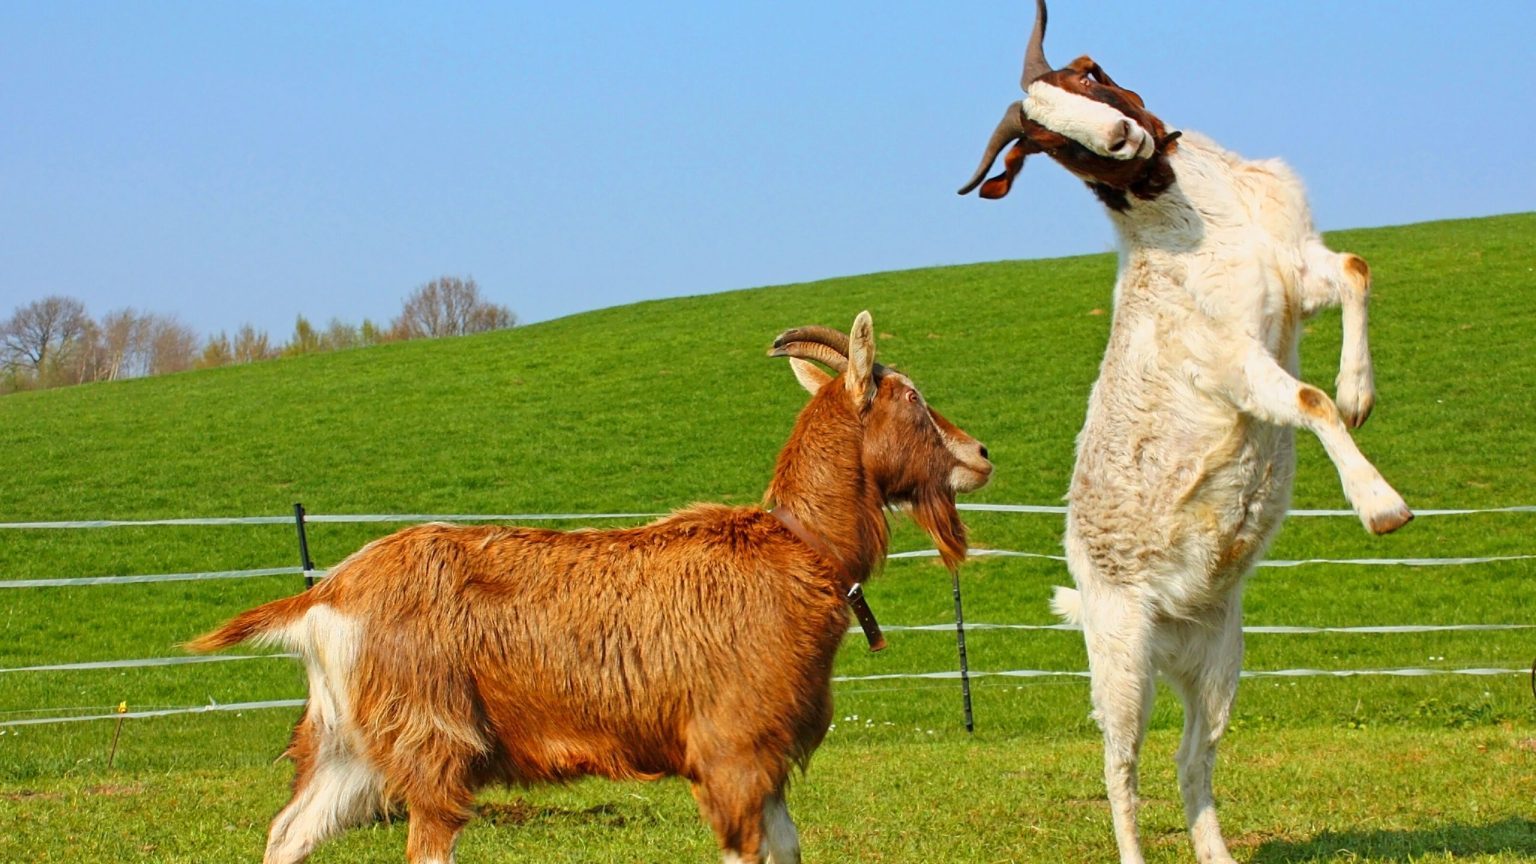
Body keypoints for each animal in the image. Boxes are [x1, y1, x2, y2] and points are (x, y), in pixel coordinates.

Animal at [188, 310, 992, 864]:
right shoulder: (731, 749)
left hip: (345, 744)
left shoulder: (764, 759)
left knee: (287, 834)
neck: (798, 549)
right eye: (911, 396)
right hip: (431, 738)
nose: (981, 453)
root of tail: (327, 594)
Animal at [958, 3, 1411, 863]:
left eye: (1086, 75)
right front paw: (1381, 505)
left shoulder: (1295, 272)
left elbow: (1357, 271)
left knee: (1192, 759)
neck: (1200, 212)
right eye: (1044, 140)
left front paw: (1361, 391)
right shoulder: (1227, 356)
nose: (1119, 139)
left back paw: (1217, 852)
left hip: (1221, 656)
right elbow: (1306, 401)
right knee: (1121, 767)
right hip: (1121, 658)